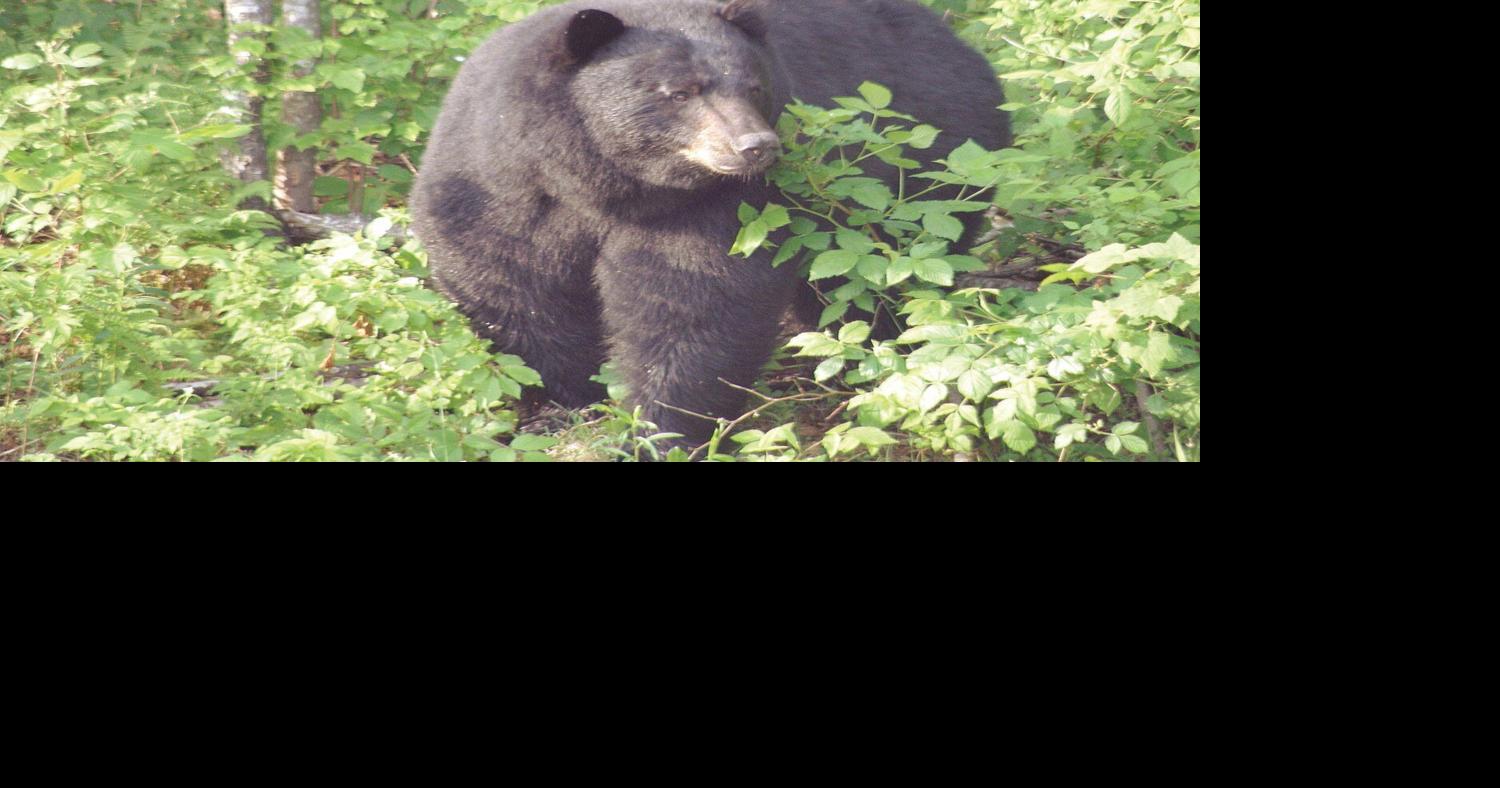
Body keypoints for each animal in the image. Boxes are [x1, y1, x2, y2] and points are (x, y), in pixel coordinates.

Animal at [411, 0, 1010, 450]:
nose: (755, 146)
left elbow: (693, 301)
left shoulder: (717, 204)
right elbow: (508, 277)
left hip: (934, 157)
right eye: (679, 92)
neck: (607, 184)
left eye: (752, 86)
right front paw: (569, 397)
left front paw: (659, 430)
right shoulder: (504, 179)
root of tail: (958, 43)